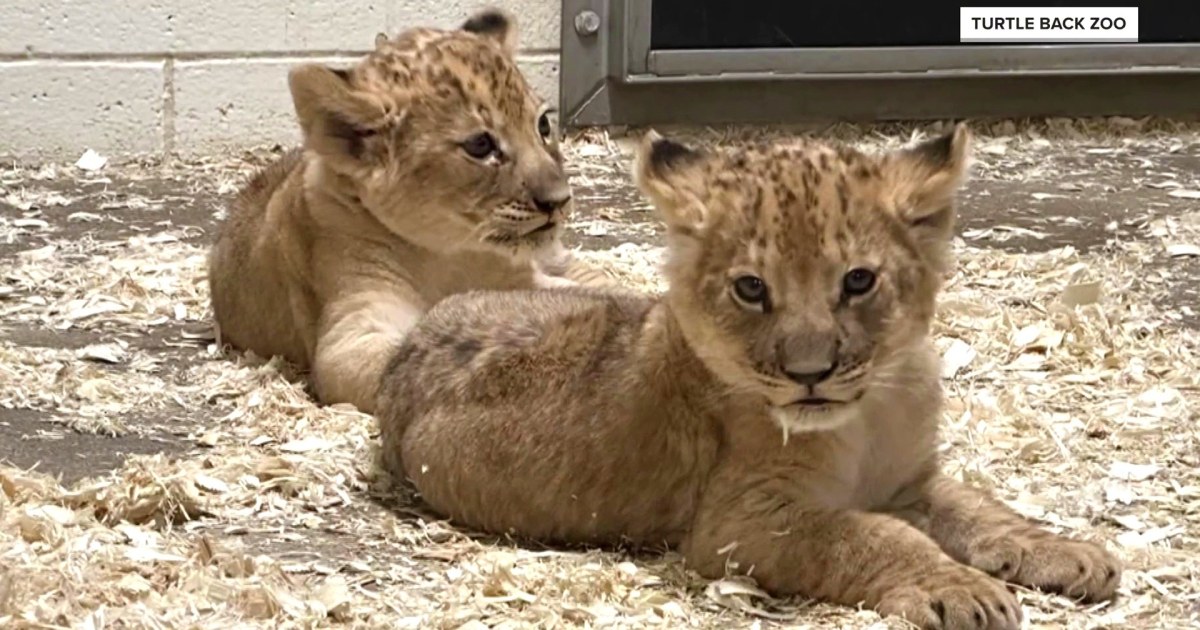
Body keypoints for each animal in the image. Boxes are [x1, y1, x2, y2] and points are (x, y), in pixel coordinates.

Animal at [206, 8, 606, 414]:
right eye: (480, 145)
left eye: (542, 124)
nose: (559, 200)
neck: (449, 253)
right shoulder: (351, 331)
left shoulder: (524, 278)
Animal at [375, 125, 1122, 629]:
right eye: (751, 289)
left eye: (858, 281)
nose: (810, 374)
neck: (870, 413)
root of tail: (412, 340)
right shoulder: (740, 523)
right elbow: (869, 535)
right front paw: (960, 588)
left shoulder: (909, 481)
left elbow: (979, 507)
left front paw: (1069, 551)